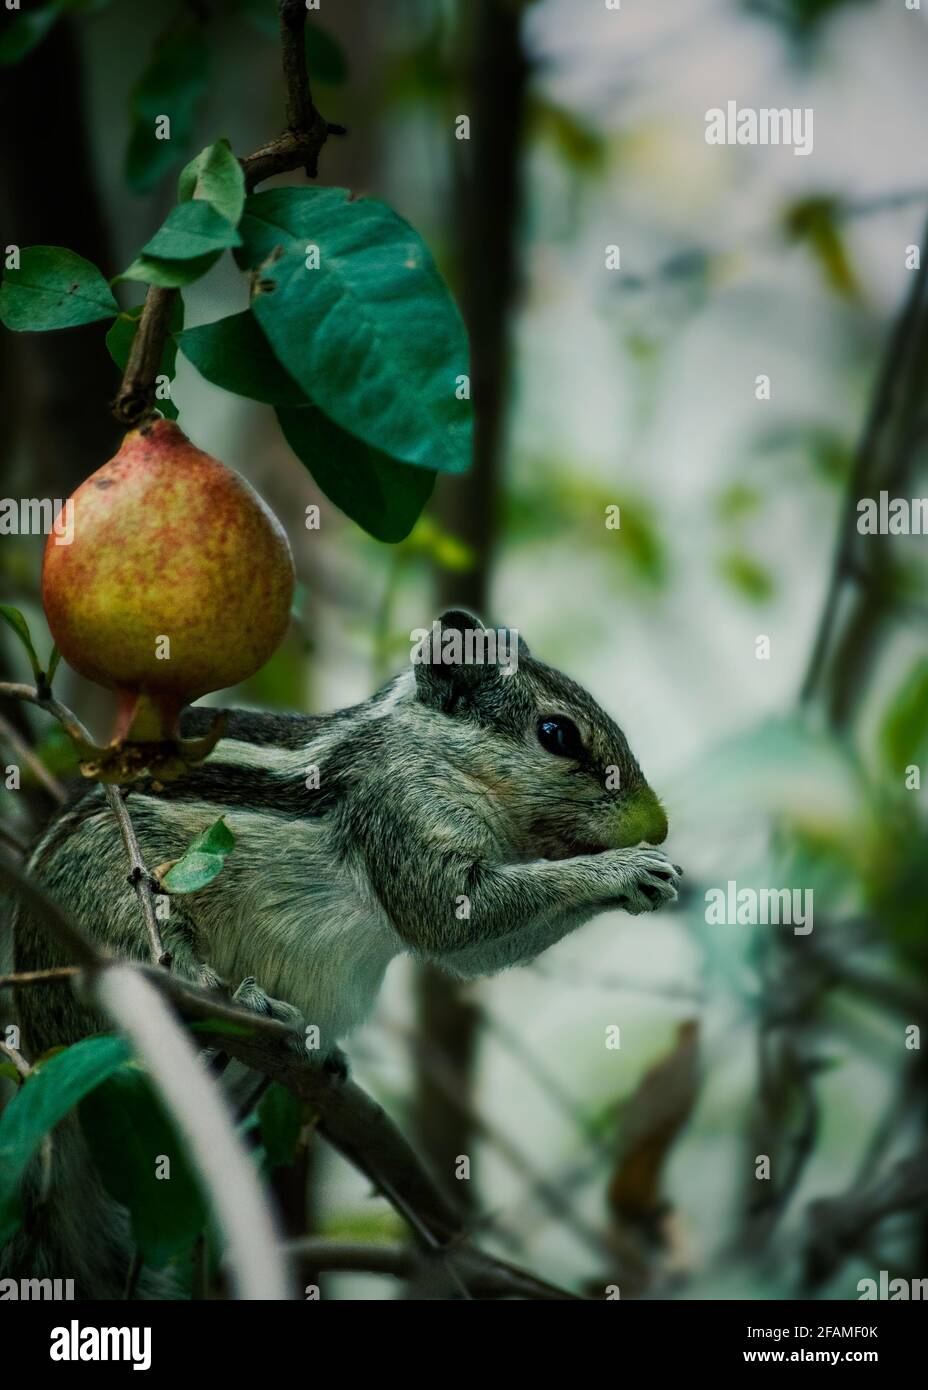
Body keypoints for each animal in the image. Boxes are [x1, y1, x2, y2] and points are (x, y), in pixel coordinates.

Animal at [3, 611, 680, 1296]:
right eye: (556, 734)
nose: (658, 826)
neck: (432, 752)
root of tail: (35, 1038)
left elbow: (472, 951)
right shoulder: (403, 813)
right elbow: (448, 919)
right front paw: (622, 869)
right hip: (124, 905)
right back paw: (244, 1000)